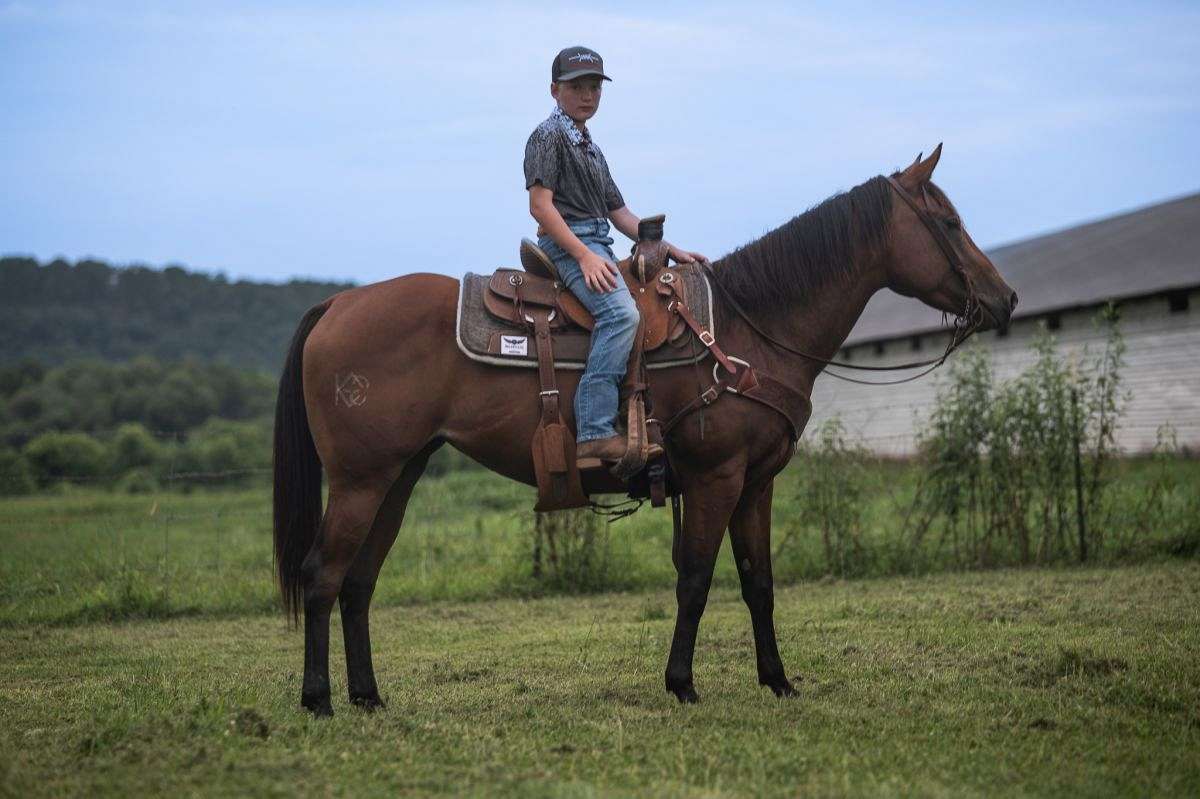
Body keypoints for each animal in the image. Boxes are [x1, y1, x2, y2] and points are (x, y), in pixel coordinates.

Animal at [272, 145, 1018, 715]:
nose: (1005, 298)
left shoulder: (757, 485)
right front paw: (682, 684)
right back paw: (319, 699)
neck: (747, 332)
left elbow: (759, 582)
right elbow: (695, 579)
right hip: (361, 481)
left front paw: (778, 680)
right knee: (321, 574)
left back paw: (369, 696)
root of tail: (338, 303)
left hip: (398, 476)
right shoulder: (717, 478)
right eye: (948, 221)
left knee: (359, 582)